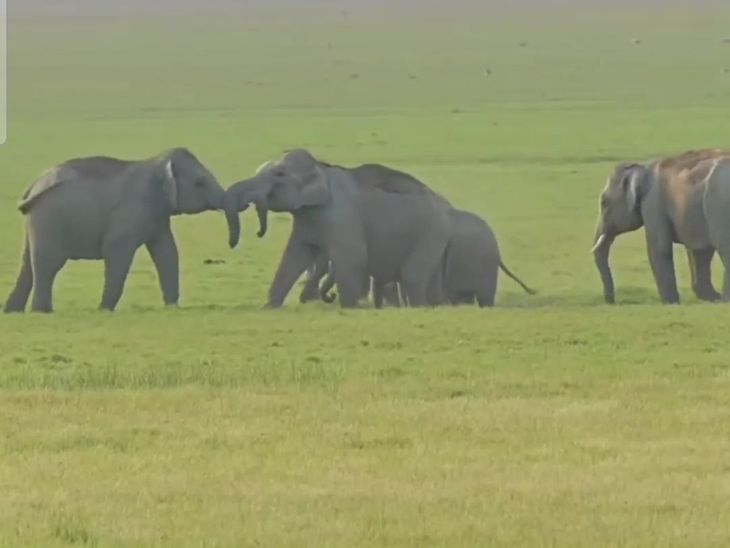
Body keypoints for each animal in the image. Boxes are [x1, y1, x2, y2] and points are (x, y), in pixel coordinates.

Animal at [3, 147, 226, 313]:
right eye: (199, 183)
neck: (156, 163)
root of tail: (34, 186)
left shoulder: (157, 216)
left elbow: (167, 251)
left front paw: (172, 307)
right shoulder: (133, 209)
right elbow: (117, 250)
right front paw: (105, 309)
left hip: (36, 220)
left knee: (28, 264)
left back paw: (13, 311)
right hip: (49, 219)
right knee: (49, 264)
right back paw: (42, 312)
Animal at [224, 149, 453, 308]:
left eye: (279, 175)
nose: (258, 232)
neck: (322, 168)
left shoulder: (343, 215)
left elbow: (353, 256)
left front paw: (349, 308)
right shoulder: (307, 218)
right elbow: (294, 255)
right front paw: (268, 307)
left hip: (432, 233)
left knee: (412, 276)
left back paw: (419, 307)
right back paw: (433, 306)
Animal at [591, 149, 730, 304]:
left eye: (604, 202)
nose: (611, 301)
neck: (643, 167)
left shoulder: (652, 202)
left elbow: (658, 249)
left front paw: (671, 303)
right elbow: (698, 250)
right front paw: (711, 298)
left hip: (718, 205)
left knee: (725, 248)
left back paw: (725, 300)